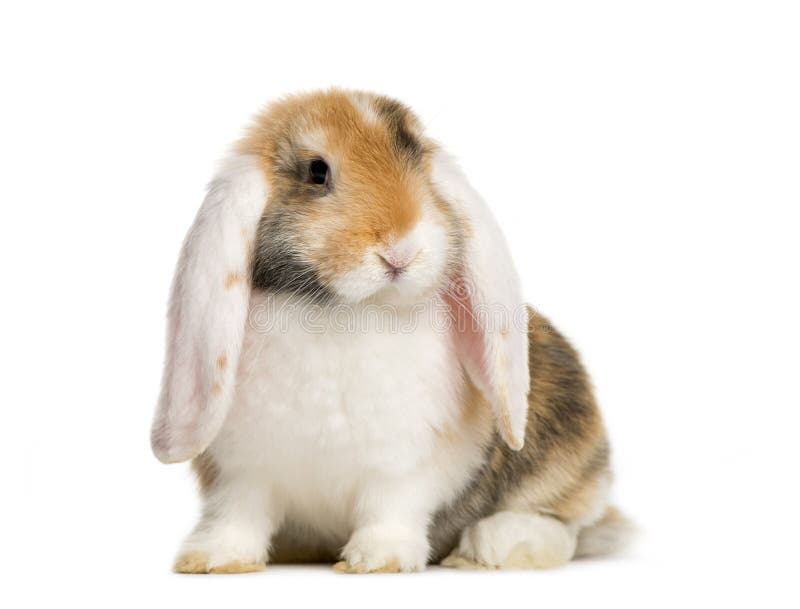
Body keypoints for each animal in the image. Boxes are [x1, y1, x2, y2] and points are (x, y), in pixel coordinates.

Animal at [152, 89, 632, 574]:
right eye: (317, 171)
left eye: (417, 159)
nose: (401, 249)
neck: (342, 310)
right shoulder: (242, 469)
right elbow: (237, 514)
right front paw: (214, 558)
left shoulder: (406, 463)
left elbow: (391, 508)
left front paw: (378, 559)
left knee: (565, 526)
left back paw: (493, 546)